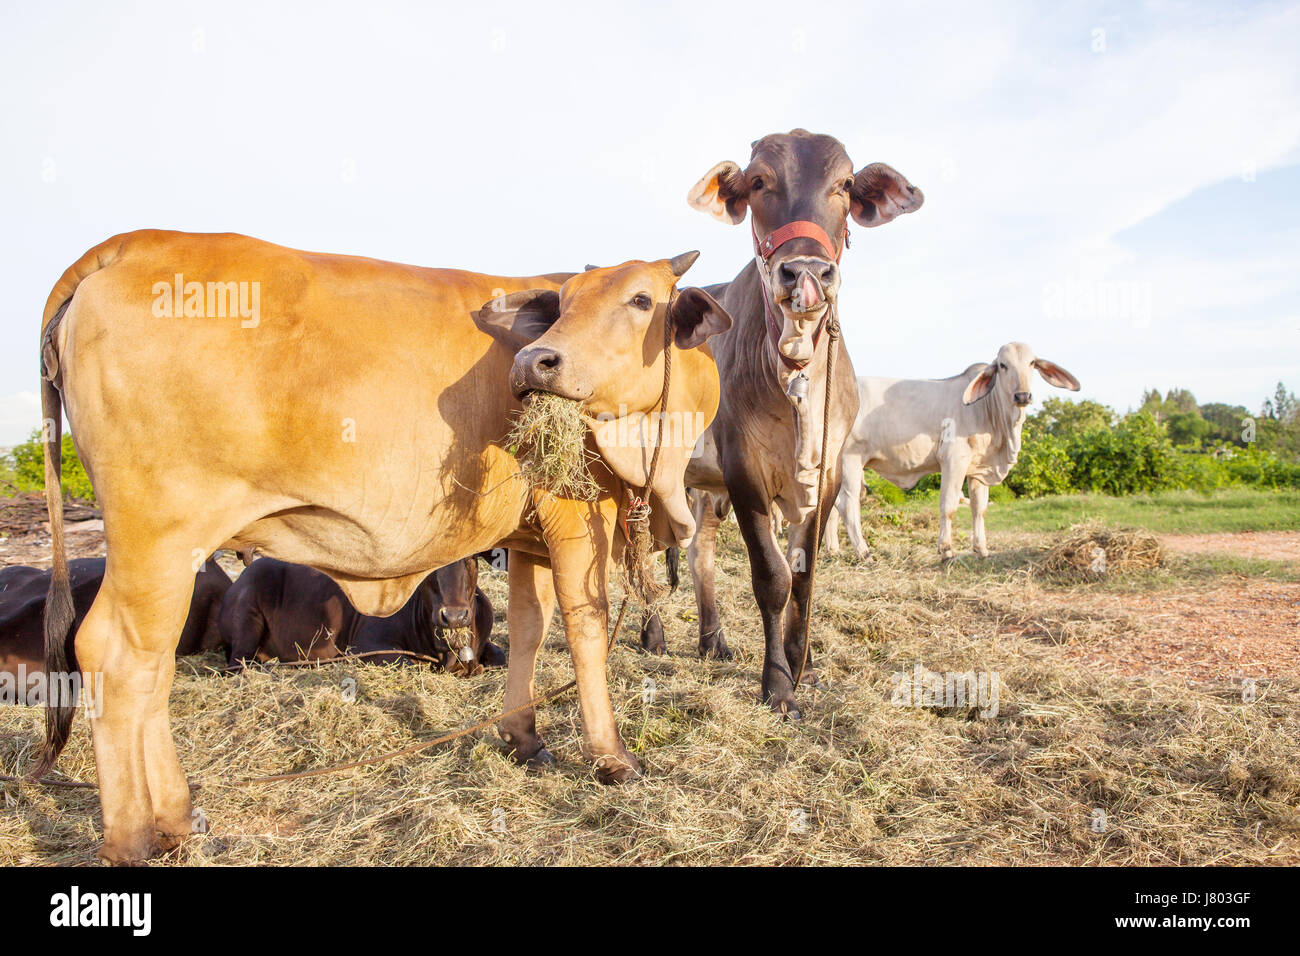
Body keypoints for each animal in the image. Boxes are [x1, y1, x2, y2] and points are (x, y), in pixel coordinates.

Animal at [219, 556, 503, 675]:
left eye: (471, 560)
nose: (454, 616)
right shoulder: (367, 645)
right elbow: (411, 665)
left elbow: (499, 656)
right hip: (247, 614)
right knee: (236, 664)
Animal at [641, 130, 922, 718]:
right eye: (757, 182)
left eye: (845, 184)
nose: (807, 272)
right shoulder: (744, 467)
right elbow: (771, 576)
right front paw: (777, 684)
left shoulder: (828, 469)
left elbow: (804, 574)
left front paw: (804, 666)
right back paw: (652, 633)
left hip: (703, 485)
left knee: (698, 553)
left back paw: (713, 640)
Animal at [826, 342, 1080, 561]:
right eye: (1002, 365)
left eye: (1032, 363)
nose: (1022, 396)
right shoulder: (953, 460)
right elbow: (948, 505)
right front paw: (946, 550)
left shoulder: (978, 470)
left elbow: (980, 509)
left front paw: (982, 550)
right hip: (850, 460)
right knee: (847, 505)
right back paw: (864, 552)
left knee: (833, 503)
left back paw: (833, 550)